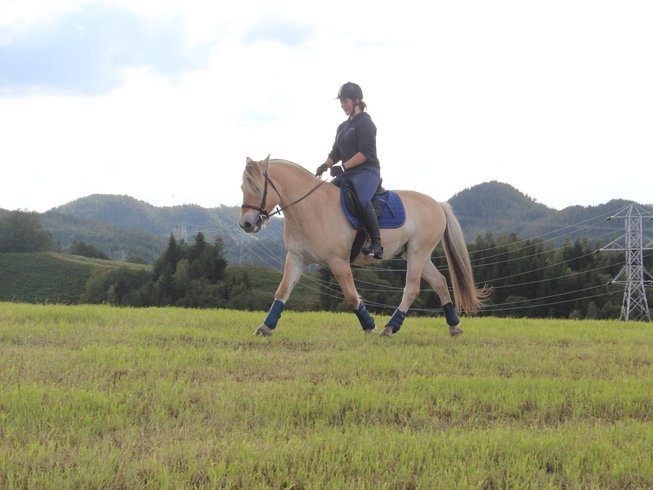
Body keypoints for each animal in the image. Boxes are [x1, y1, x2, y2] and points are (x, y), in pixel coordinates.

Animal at [239, 156, 489, 337]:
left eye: (257, 188)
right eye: (242, 187)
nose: (246, 224)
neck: (311, 207)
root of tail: (437, 204)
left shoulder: (338, 262)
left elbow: (351, 296)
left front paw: (369, 325)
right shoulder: (296, 258)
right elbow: (282, 291)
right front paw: (266, 327)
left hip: (418, 254)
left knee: (412, 289)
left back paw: (391, 327)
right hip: (418, 255)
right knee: (440, 282)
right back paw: (454, 326)